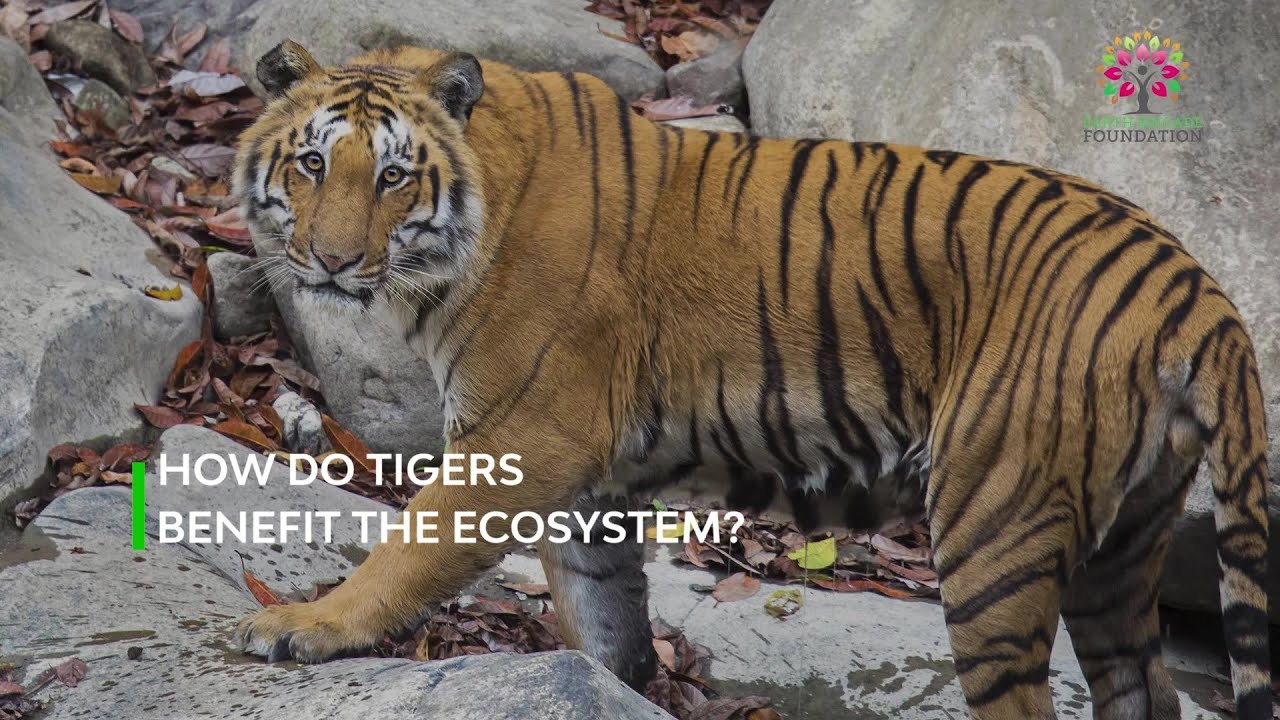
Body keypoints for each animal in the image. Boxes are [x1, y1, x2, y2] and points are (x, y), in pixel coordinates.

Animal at [230, 40, 1272, 719]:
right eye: (312, 162)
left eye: (394, 177)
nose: (330, 261)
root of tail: (1196, 287)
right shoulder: (584, 481)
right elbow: (602, 618)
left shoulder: (520, 440)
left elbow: (408, 553)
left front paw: (302, 626)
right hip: (1122, 546)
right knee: (1145, 686)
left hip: (996, 526)